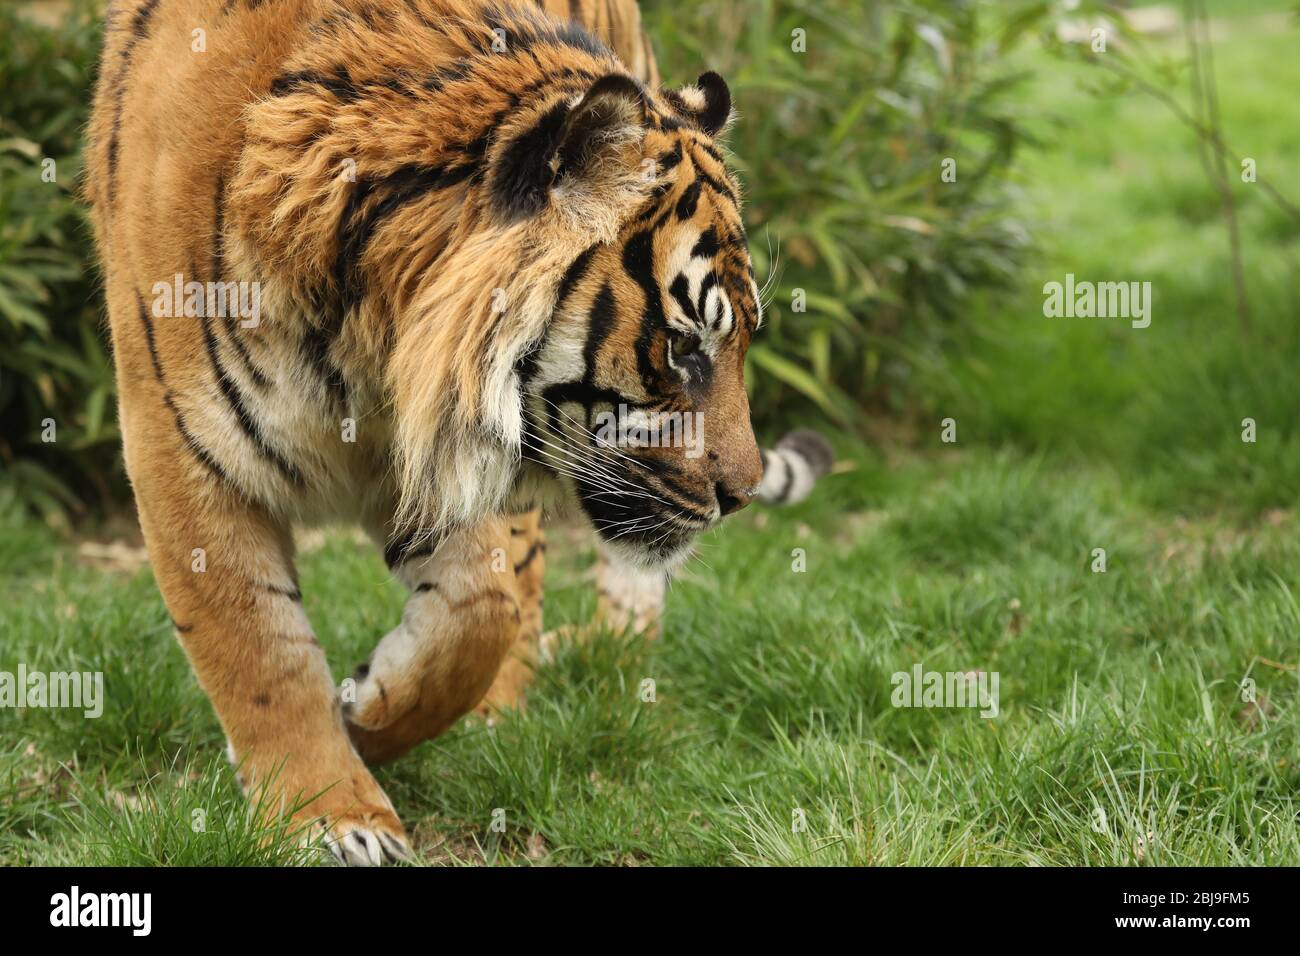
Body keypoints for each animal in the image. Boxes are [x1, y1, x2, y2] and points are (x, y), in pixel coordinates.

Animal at [86, 0, 832, 865]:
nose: (738, 496)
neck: (367, 334)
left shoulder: (433, 453)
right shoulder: (186, 448)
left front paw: (368, 710)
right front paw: (333, 815)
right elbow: (257, 649)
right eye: (682, 348)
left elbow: (482, 607)